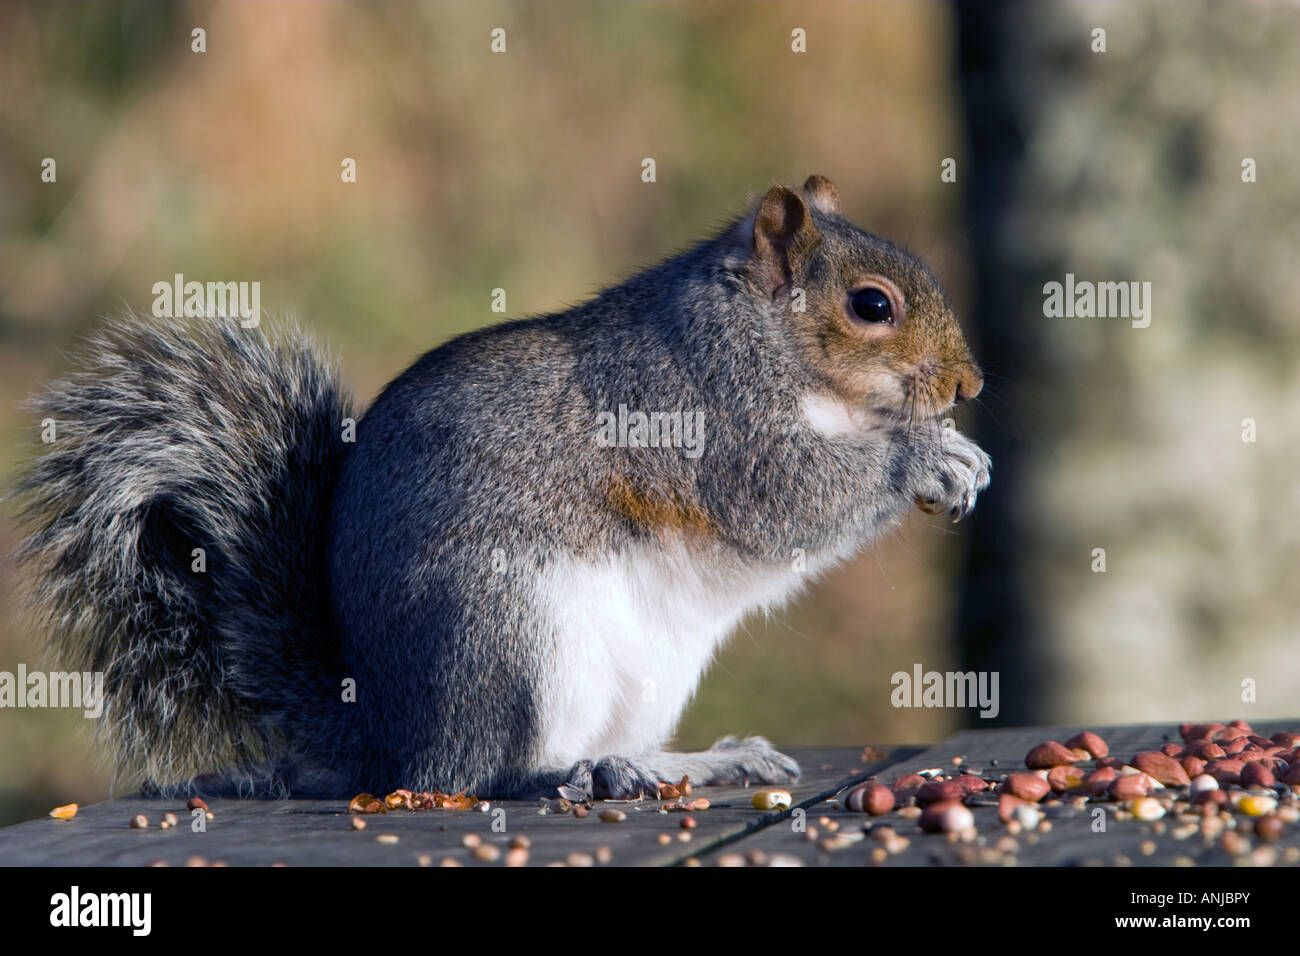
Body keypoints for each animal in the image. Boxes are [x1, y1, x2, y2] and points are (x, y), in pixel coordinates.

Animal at [14, 175, 989, 801]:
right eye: (871, 306)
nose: (969, 385)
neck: (755, 335)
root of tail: (386, 737)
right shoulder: (702, 417)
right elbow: (787, 498)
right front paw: (924, 456)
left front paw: (960, 451)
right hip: (506, 631)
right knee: (477, 774)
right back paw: (569, 773)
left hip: (645, 671)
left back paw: (683, 764)